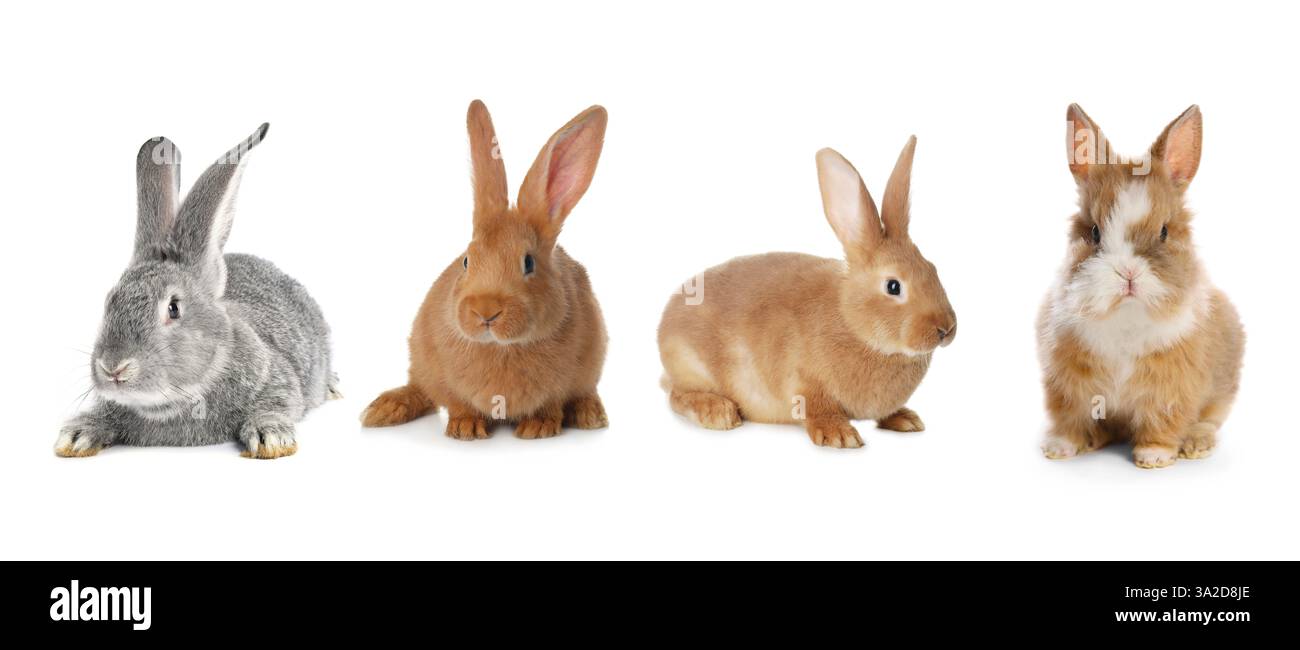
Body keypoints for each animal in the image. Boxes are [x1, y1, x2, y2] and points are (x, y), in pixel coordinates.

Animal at [55, 124, 338, 460]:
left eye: (173, 308)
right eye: (109, 302)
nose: (113, 368)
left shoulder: (279, 381)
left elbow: (276, 406)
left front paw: (271, 438)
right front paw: (77, 435)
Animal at [360, 100, 609, 440]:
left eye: (528, 262)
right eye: (466, 260)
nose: (486, 311)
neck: (501, 347)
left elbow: (551, 405)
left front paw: (538, 428)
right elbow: (457, 403)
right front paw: (465, 428)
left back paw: (590, 415)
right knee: (420, 388)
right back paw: (384, 409)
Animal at [657, 138, 956, 449]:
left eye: (932, 269)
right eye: (893, 286)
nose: (946, 329)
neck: (853, 324)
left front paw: (905, 419)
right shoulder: (804, 383)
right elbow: (816, 408)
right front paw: (840, 435)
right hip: (689, 362)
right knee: (676, 394)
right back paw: (717, 412)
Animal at [1038, 104, 1244, 469]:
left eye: (1164, 231)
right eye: (1094, 232)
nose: (1128, 273)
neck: (1126, 315)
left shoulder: (1172, 387)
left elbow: (1163, 420)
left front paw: (1155, 456)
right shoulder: (1065, 384)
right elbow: (1069, 418)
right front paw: (1059, 448)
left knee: (1208, 419)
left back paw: (1196, 444)